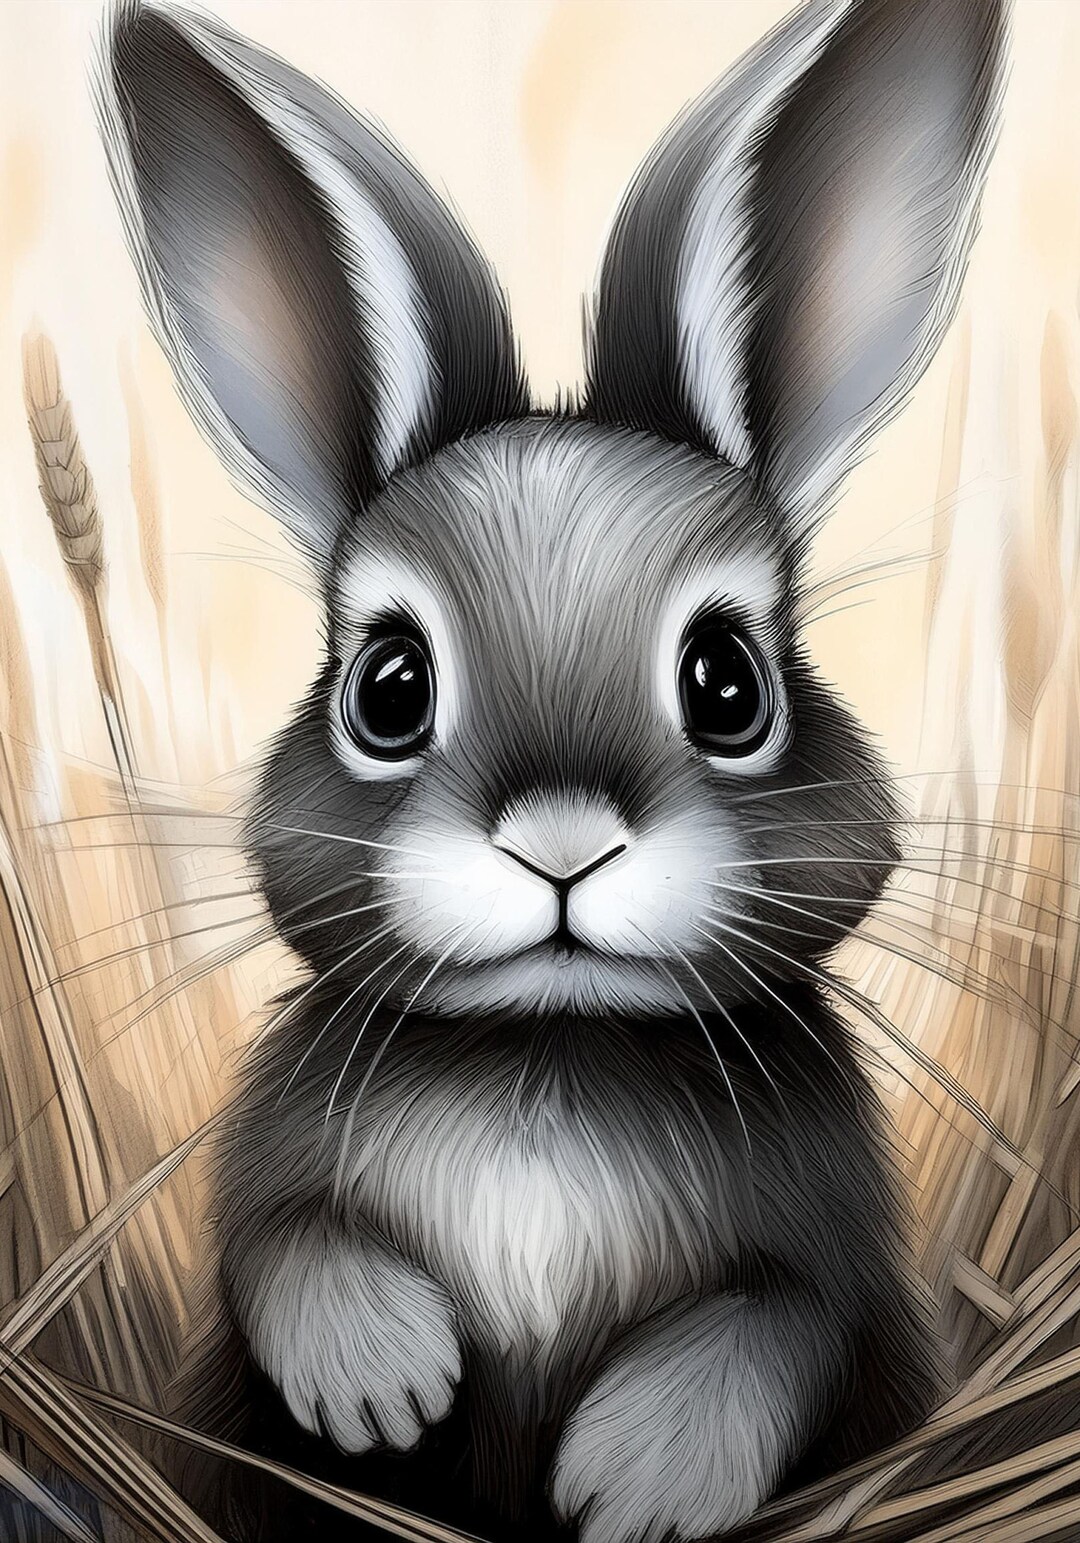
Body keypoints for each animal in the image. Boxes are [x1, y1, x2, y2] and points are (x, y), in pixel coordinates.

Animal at [101, 0, 1007, 1538]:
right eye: (388, 688)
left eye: (728, 682)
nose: (562, 843)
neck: (549, 1049)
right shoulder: (272, 1189)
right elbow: (284, 1245)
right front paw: (380, 1379)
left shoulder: (828, 1255)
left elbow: (781, 1323)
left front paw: (641, 1479)